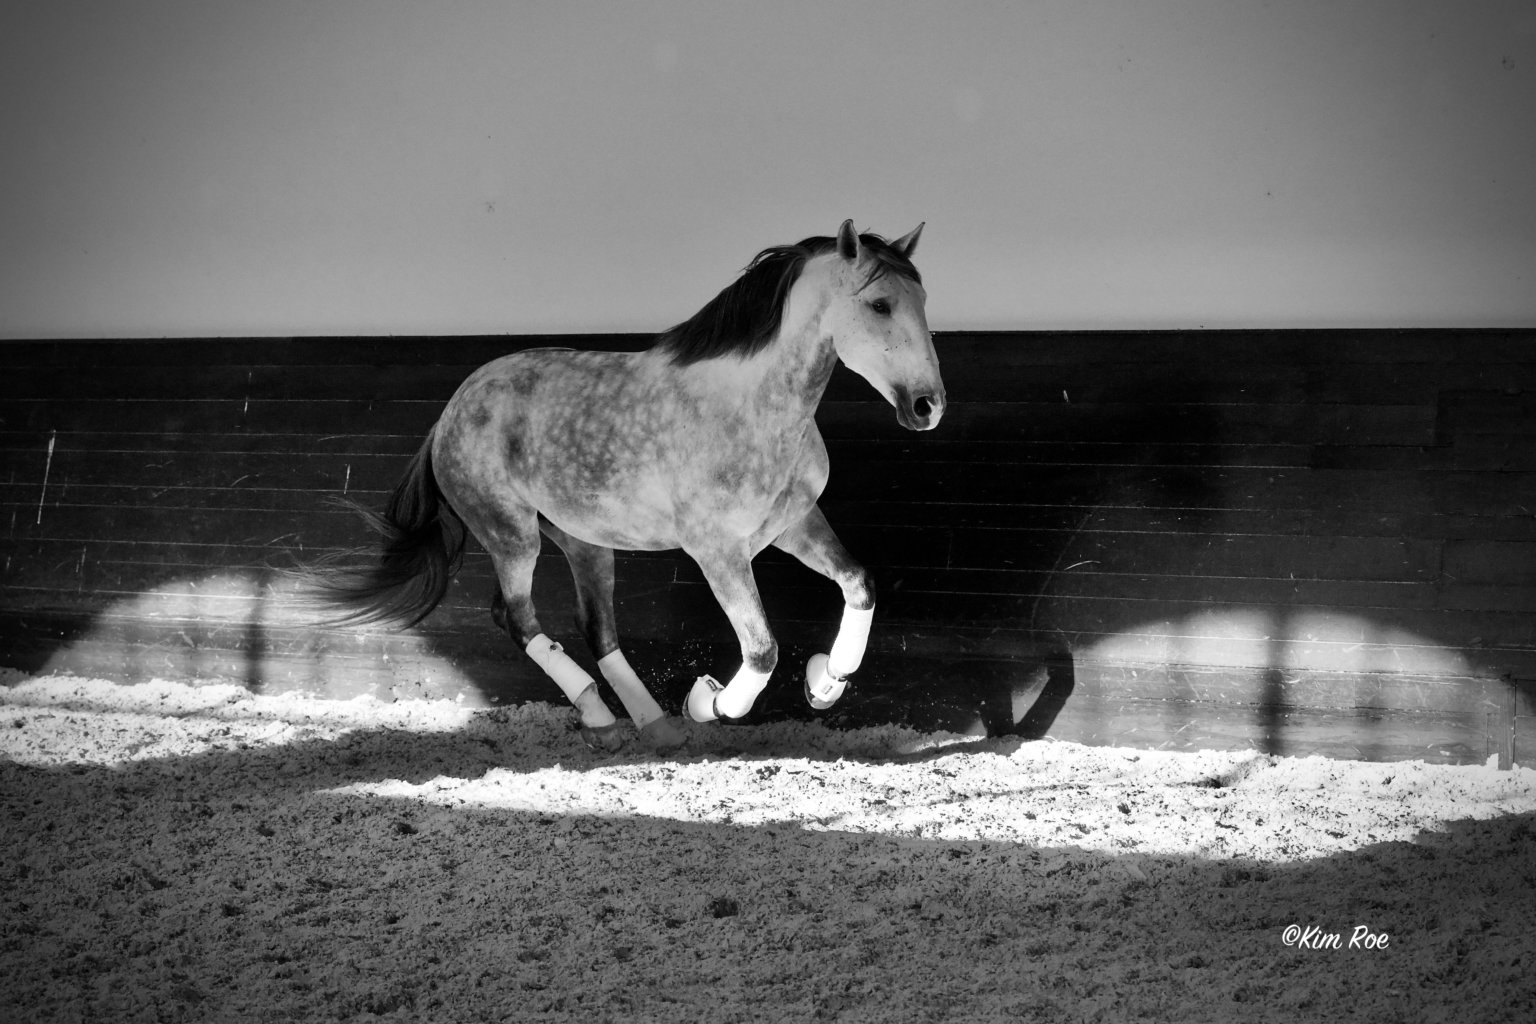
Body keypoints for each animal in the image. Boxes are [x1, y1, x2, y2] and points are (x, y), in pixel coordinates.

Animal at [303, 220, 944, 752]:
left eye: (923, 301)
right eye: (881, 304)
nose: (927, 406)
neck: (751, 409)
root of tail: (449, 414)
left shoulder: (794, 526)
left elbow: (859, 585)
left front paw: (824, 683)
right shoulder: (717, 551)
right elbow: (761, 650)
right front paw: (707, 701)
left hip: (584, 542)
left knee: (595, 628)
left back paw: (649, 725)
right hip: (513, 538)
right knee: (516, 617)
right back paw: (603, 717)